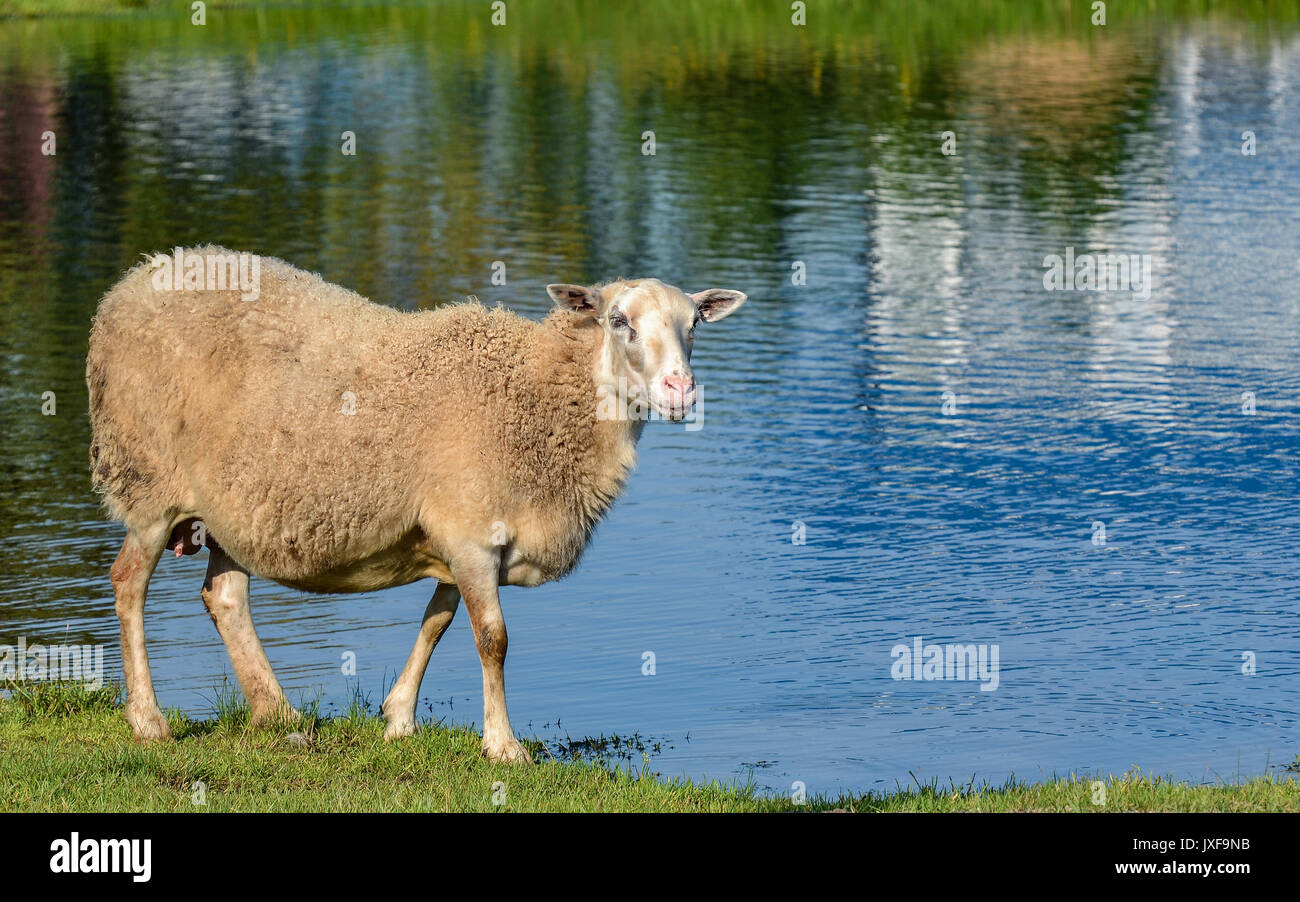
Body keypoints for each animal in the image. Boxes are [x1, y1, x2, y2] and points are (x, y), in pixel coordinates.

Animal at [86, 246, 747, 762]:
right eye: (617, 320)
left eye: (694, 324)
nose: (680, 390)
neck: (537, 400)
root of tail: (137, 279)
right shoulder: (472, 533)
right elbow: (492, 638)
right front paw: (503, 746)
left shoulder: (459, 532)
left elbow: (438, 620)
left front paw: (398, 716)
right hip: (149, 482)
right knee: (128, 583)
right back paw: (149, 721)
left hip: (233, 508)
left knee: (224, 596)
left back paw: (277, 714)